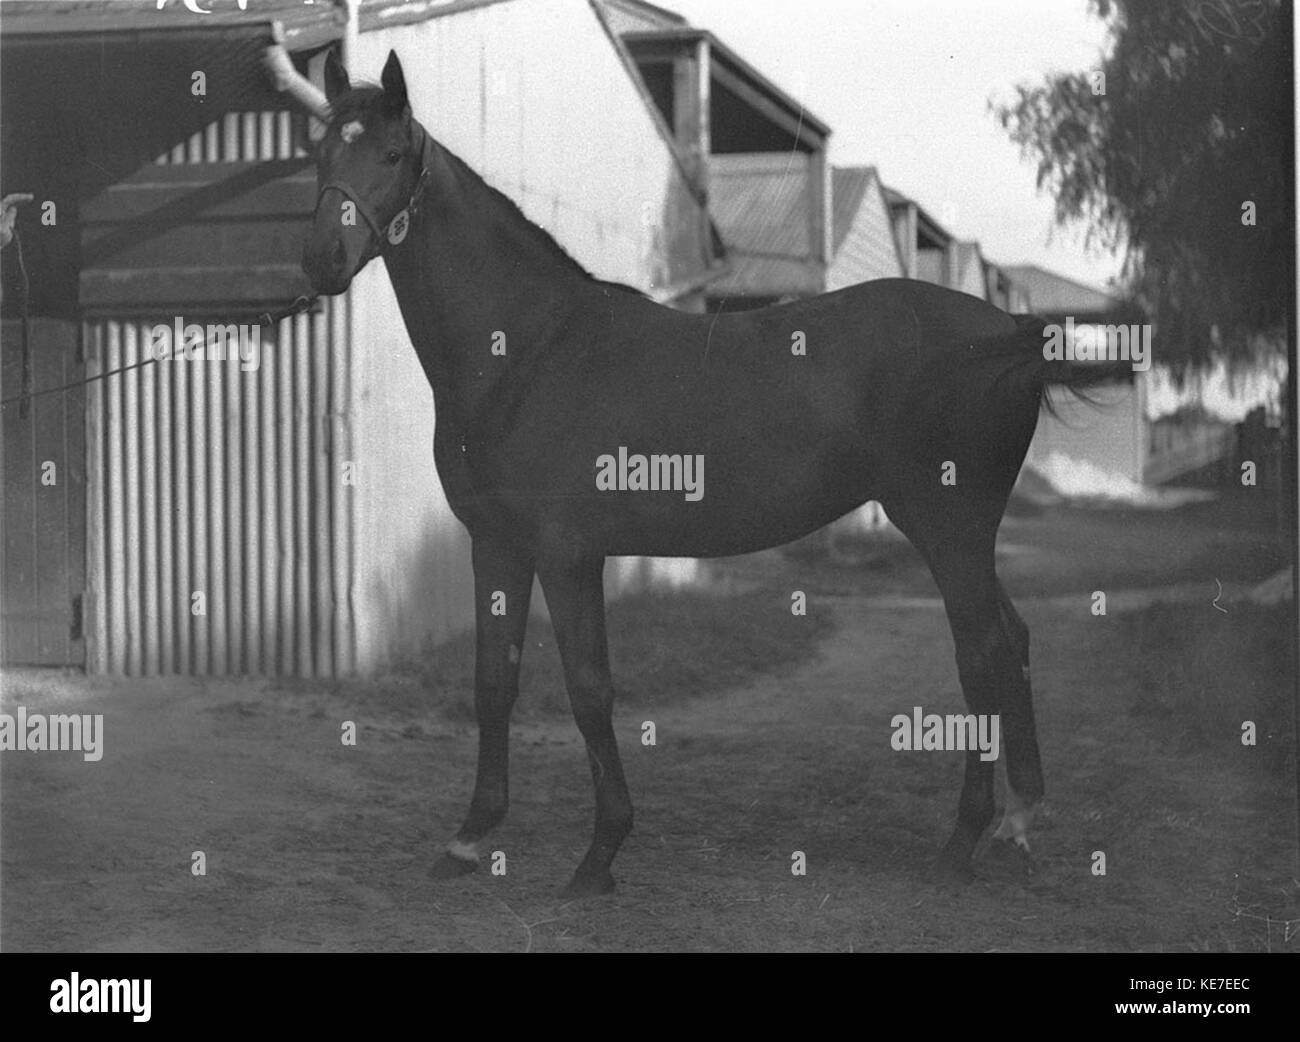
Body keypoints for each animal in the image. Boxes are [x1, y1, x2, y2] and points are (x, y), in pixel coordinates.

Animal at [302, 50, 1120, 898]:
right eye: (318, 153)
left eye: (390, 156)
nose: (320, 262)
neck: (526, 349)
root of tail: (1010, 331)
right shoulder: (496, 544)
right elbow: (493, 683)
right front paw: (468, 840)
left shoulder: (567, 553)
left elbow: (589, 689)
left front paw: (600, 854)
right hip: (959, 533)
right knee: (1011, 640)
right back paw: (1015, 825)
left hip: (948, 527)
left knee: (982, 654)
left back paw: (961, 843)